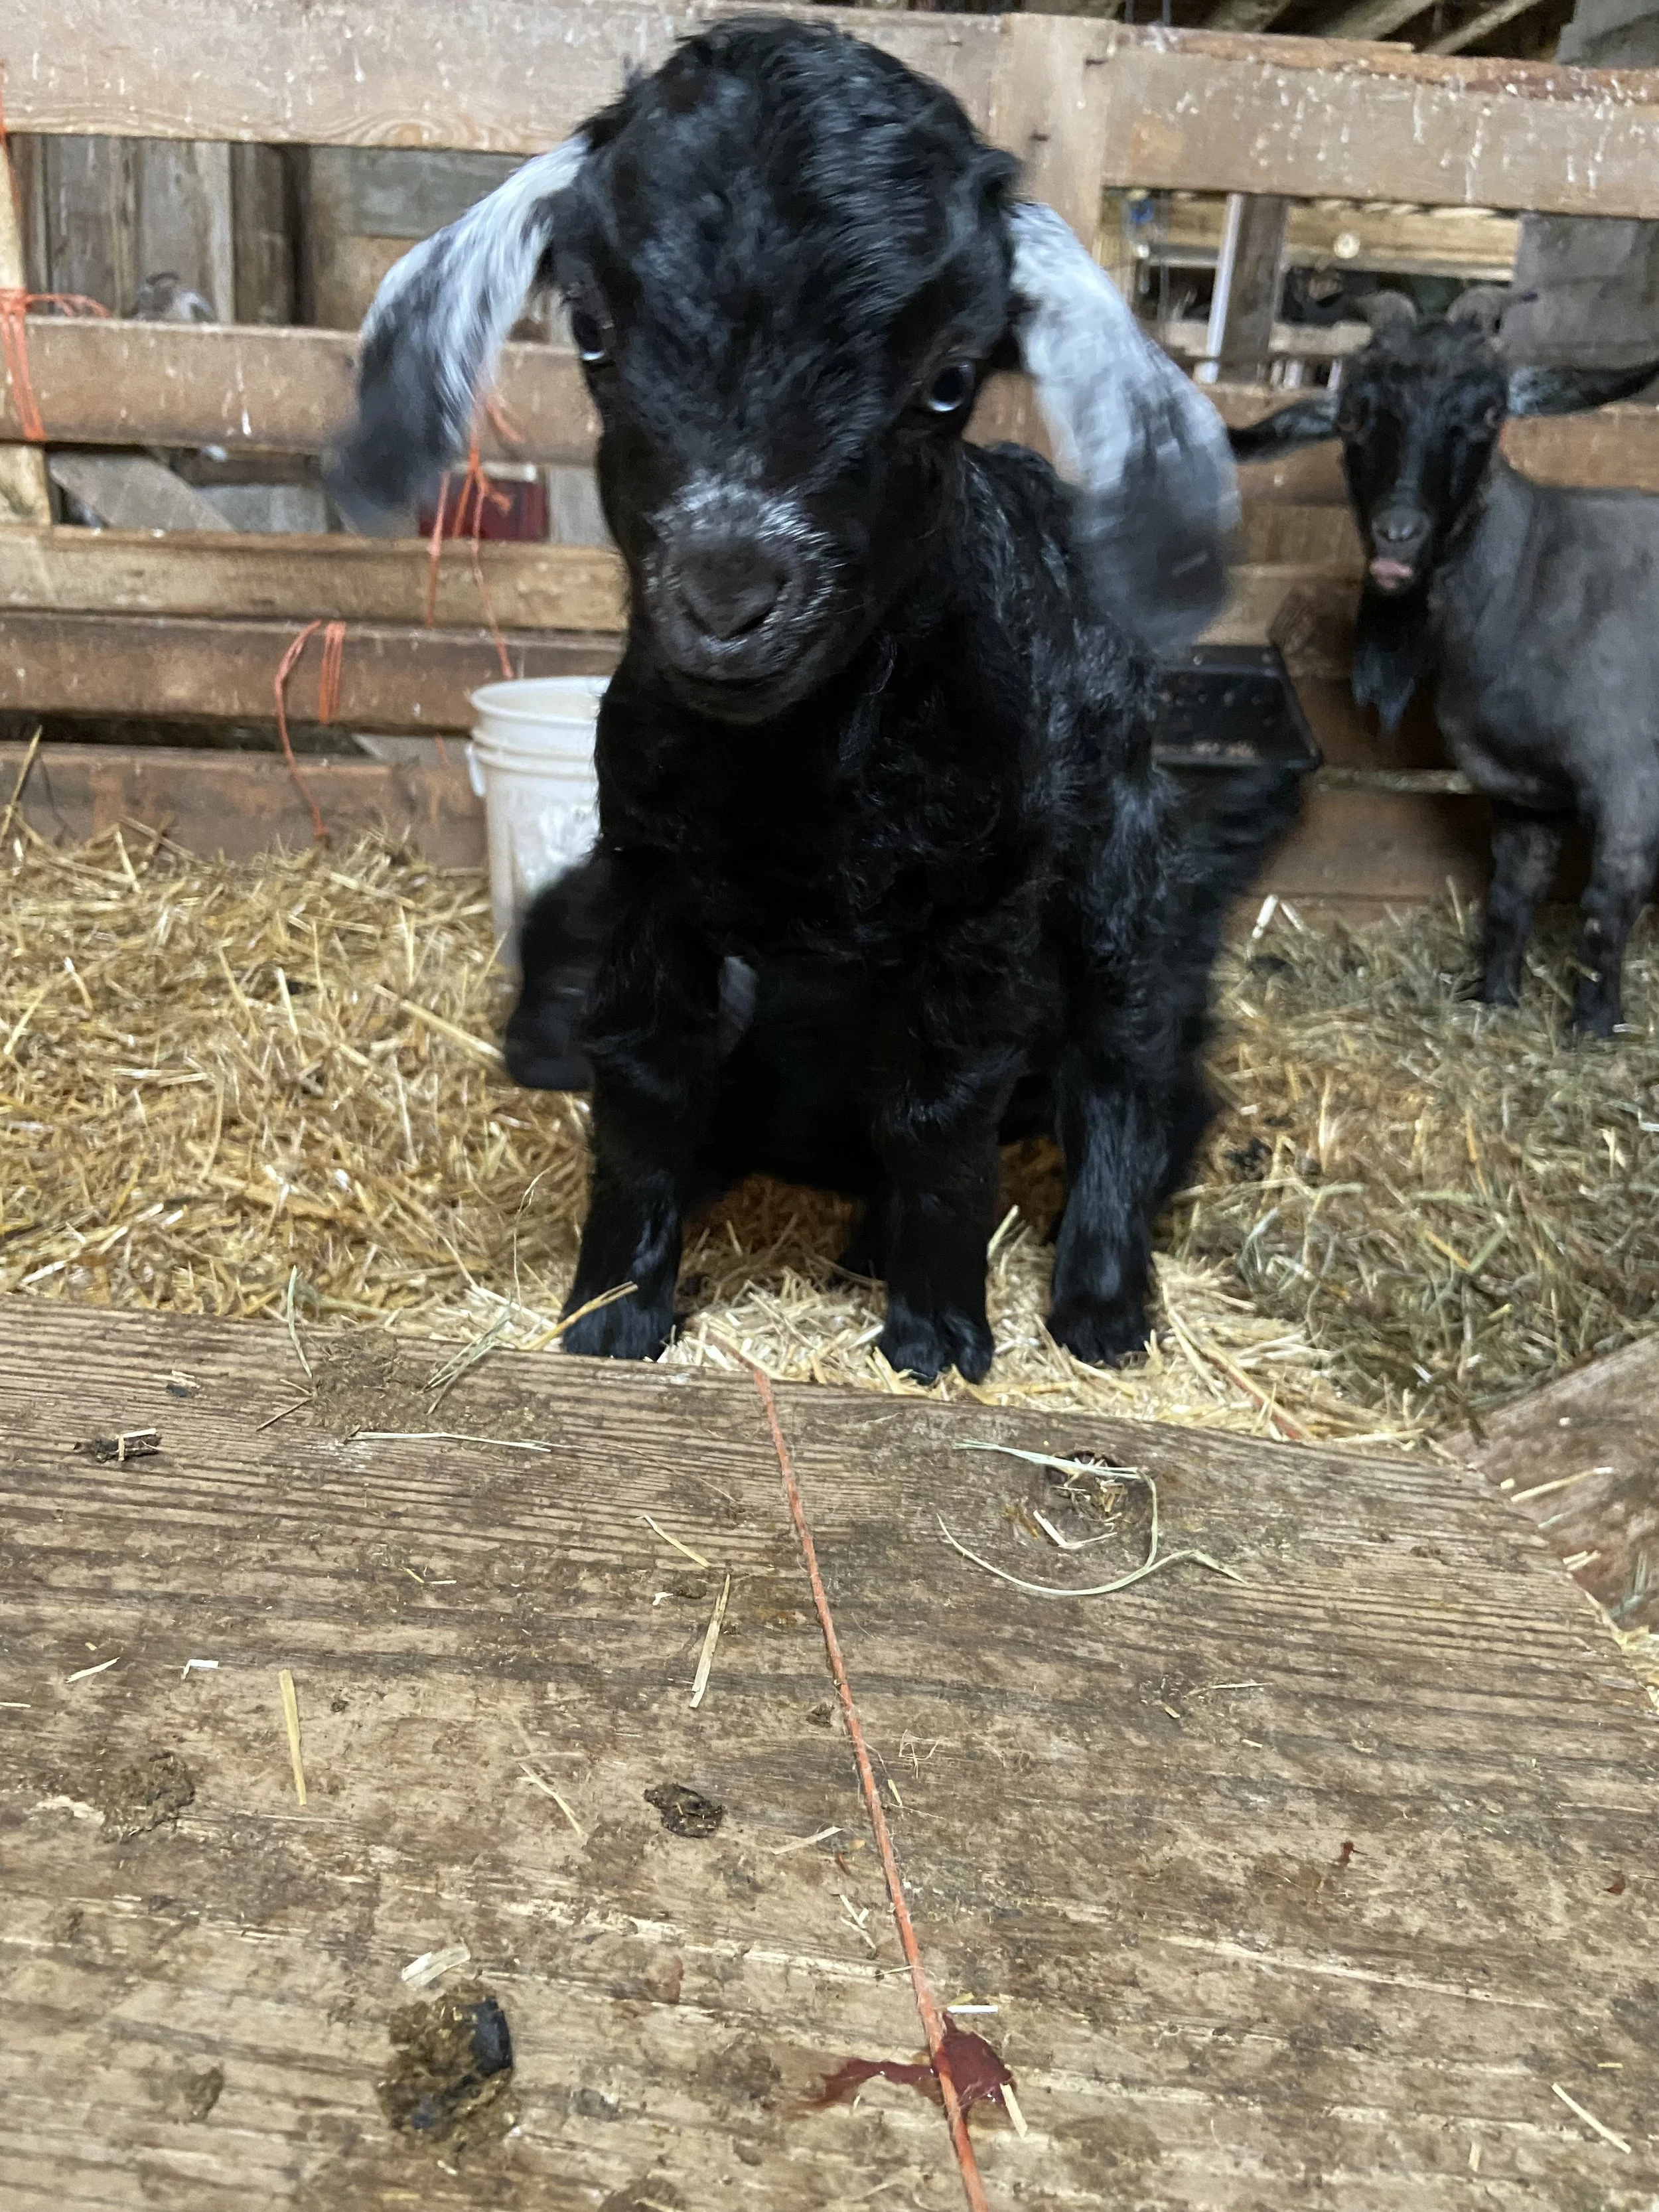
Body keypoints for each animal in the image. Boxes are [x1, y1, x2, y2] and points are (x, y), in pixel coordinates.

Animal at [331, 18, 1265, 1383]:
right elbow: (649, 1091)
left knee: (1123, 1055)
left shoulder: (978, 913)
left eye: (947, 378)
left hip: (1118, 859)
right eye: (595, 332)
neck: (800, 774)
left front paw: (938, 1339)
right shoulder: (653, 882)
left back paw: (1100, 1305)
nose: (729, 593)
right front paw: (608, 1317)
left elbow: (941, 1116)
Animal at [1230, 293, 1659, 1037]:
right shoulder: (1523, 792)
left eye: (1490, 414)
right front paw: (1494, 1000)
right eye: (1351, 416)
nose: (1398, 535)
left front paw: (1593, 1030)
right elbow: (1512, 894)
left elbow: (1604, 914)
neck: (1530, 570)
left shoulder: (1631, 784)